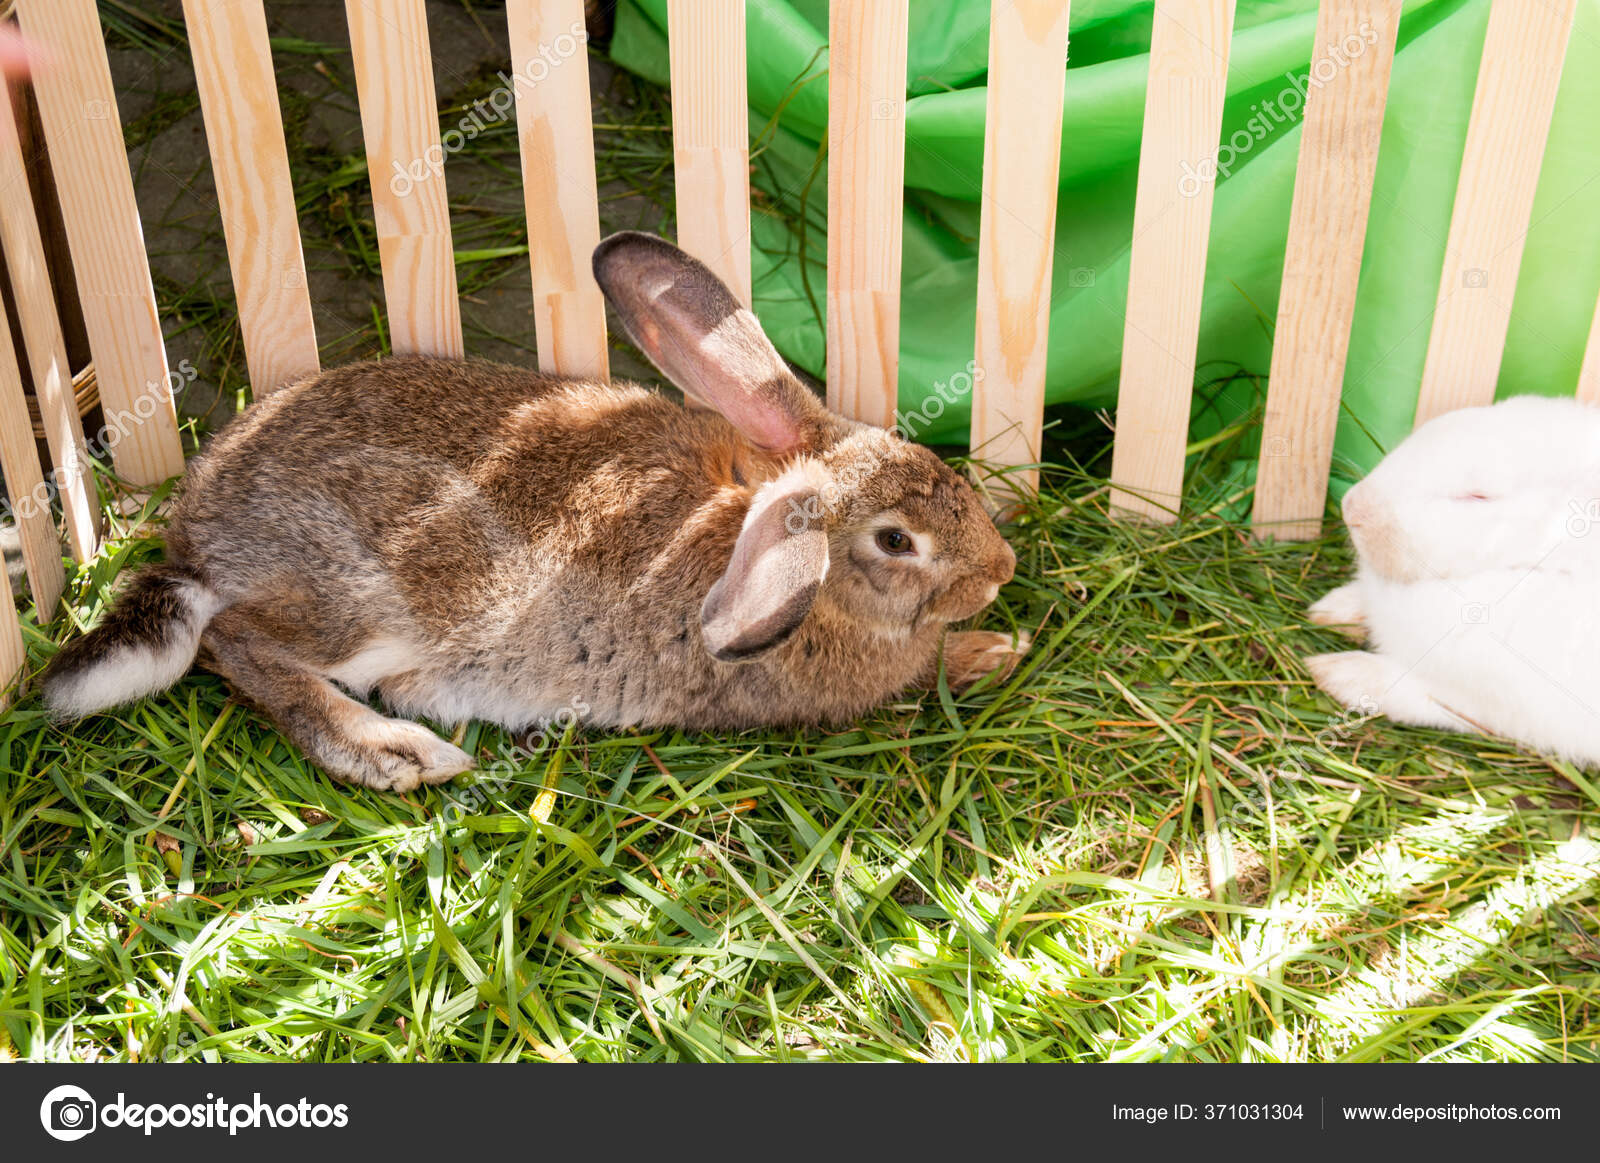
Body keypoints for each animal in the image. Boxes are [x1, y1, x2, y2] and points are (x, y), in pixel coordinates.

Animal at [41, 233, 1024, 792]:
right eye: (896, 540)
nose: (1000, 571)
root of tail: (194, 540)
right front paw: (992, 648)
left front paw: (997, 643)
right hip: (365, 604)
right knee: (239, 642)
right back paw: (398, 754)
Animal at [1305, 393, 1600, 766]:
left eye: (1478, 496)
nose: (1352, 509)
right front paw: (1330, 610)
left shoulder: (1491, 702)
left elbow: (1410, 690)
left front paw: (1334, 672)